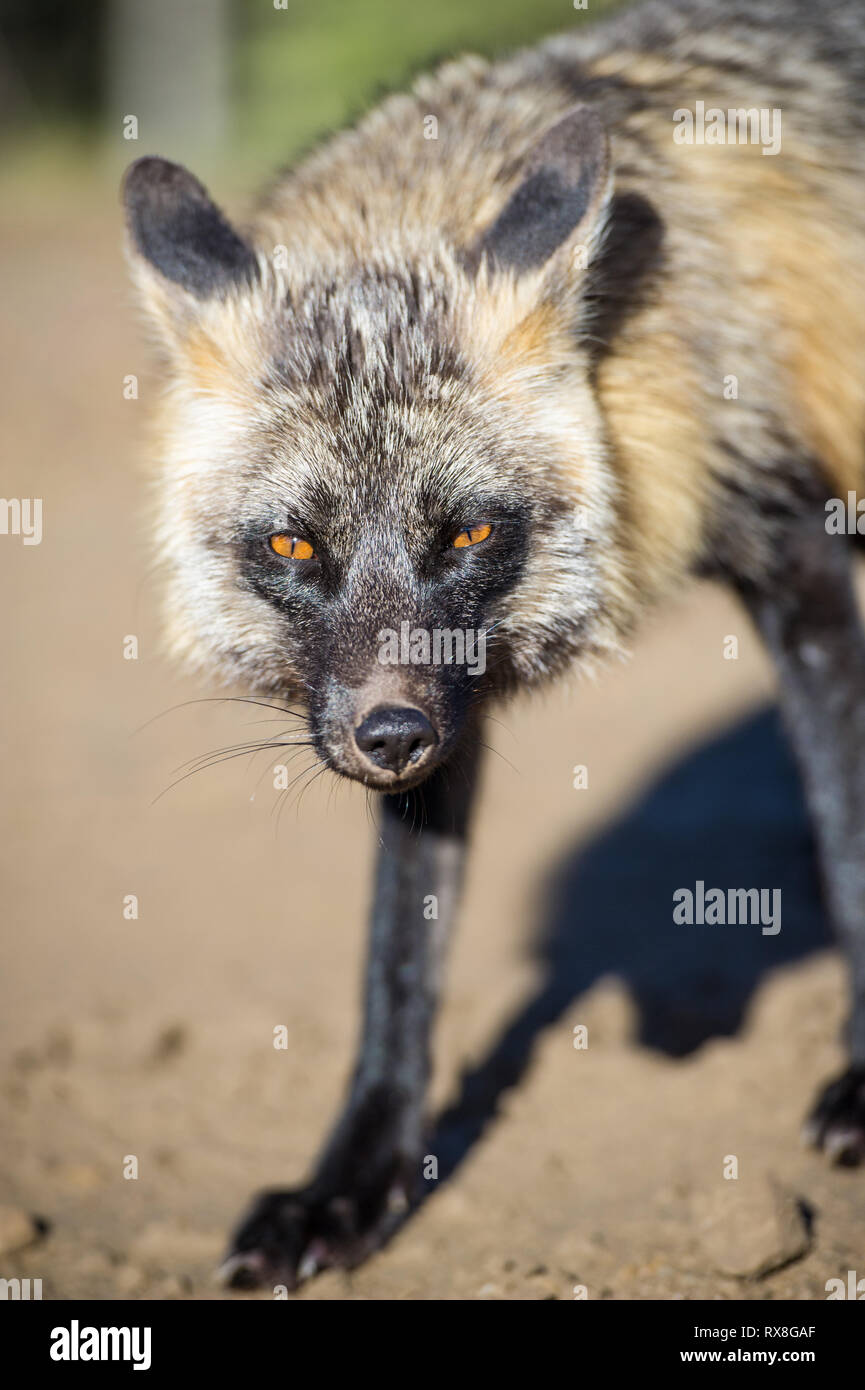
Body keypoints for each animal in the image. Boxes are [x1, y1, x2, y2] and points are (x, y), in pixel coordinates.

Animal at [123, 0, 865, 1290]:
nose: (388, 738)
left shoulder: (798, 557)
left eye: (467, 530)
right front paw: (351, 1186)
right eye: (293, 545)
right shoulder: (434, 705)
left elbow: (853, 835)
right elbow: (398, 961)